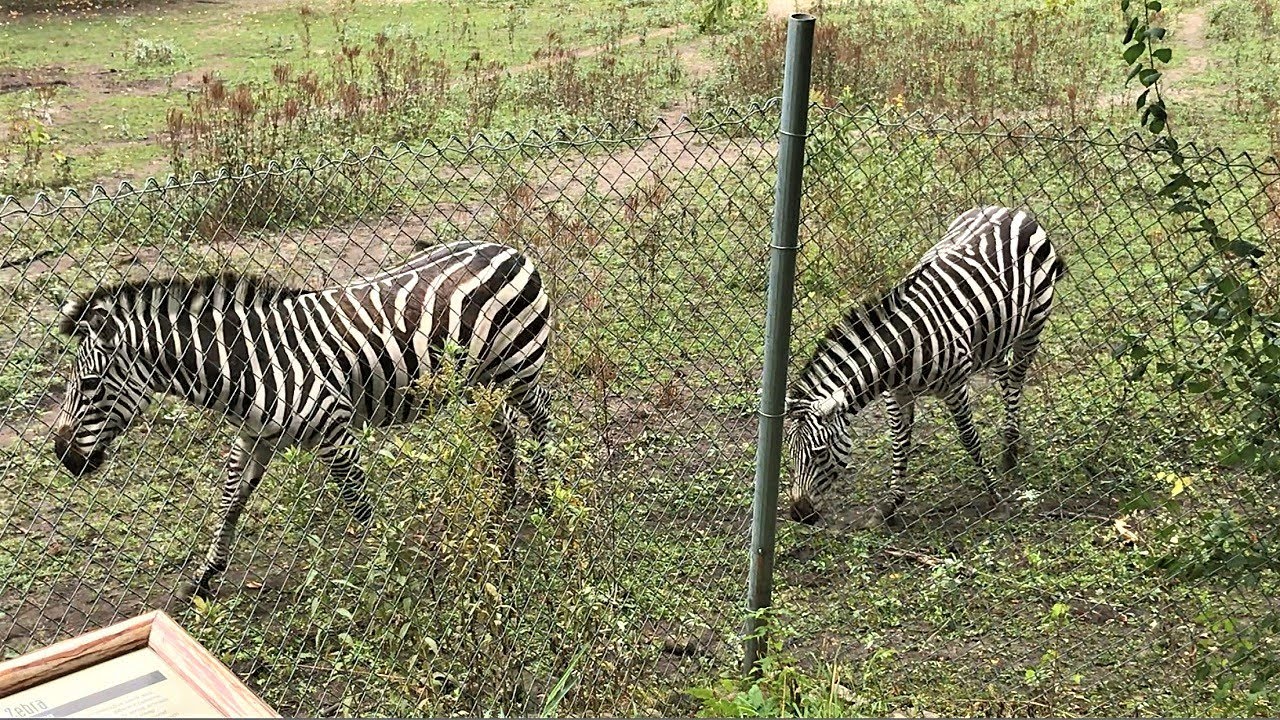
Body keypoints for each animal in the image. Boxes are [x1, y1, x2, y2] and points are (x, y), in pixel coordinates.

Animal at [51, 239, 553, 598]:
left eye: (90, 384)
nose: (63, 457)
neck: (247, 365)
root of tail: (507, 248)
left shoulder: (336, 432)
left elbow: (360, 509)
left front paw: (386, 574)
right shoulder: (254, 436)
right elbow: (230, 503)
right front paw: (204, 578)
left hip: (520, 365)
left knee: (541, 415)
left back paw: (547, 501)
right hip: (477, 379)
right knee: (503, 422)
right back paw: (505, 501)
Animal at [785, 206, 1065, 526]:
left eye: (820, 454)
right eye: (790, 453)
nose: (799, 514)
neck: (905, 348)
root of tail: (1010, 209)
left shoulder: (955, 388)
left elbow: (969, 438)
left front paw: (995, 496)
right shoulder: (896, 394)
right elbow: (899, 442)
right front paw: (890, 505)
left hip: (1033, 323)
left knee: (1017, 378)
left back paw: (1010, 451)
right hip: (995, 333)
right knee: (1006, 377)